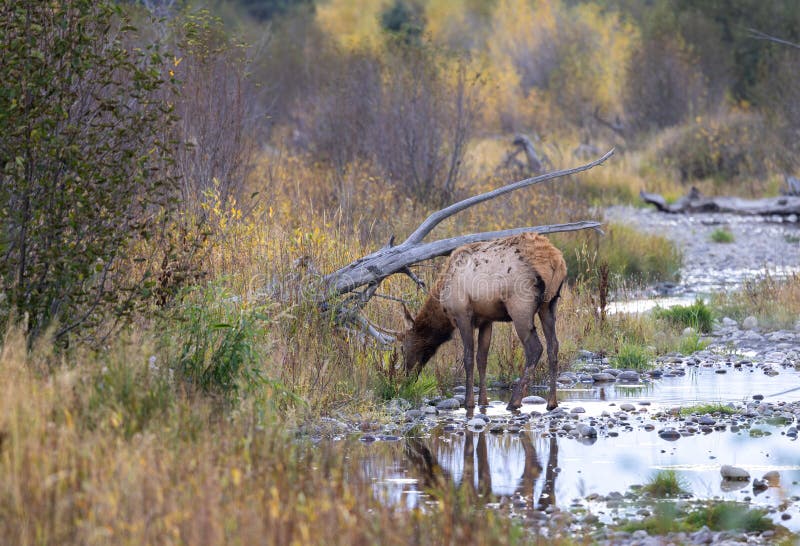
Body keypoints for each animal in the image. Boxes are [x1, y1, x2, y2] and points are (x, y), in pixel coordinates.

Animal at [398, 232, 567, 412]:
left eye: (402, 348)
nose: (405, 377)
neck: (442, 305)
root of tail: (555, 261)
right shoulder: (487, 319)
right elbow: (482, 358)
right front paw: (483, 401)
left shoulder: (463, 315)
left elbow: (468, 358)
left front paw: (469, 402)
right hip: (549, 304)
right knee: (553, 346)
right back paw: (552, 402)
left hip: (520, 305)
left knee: (535, 348)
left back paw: (514, 401)